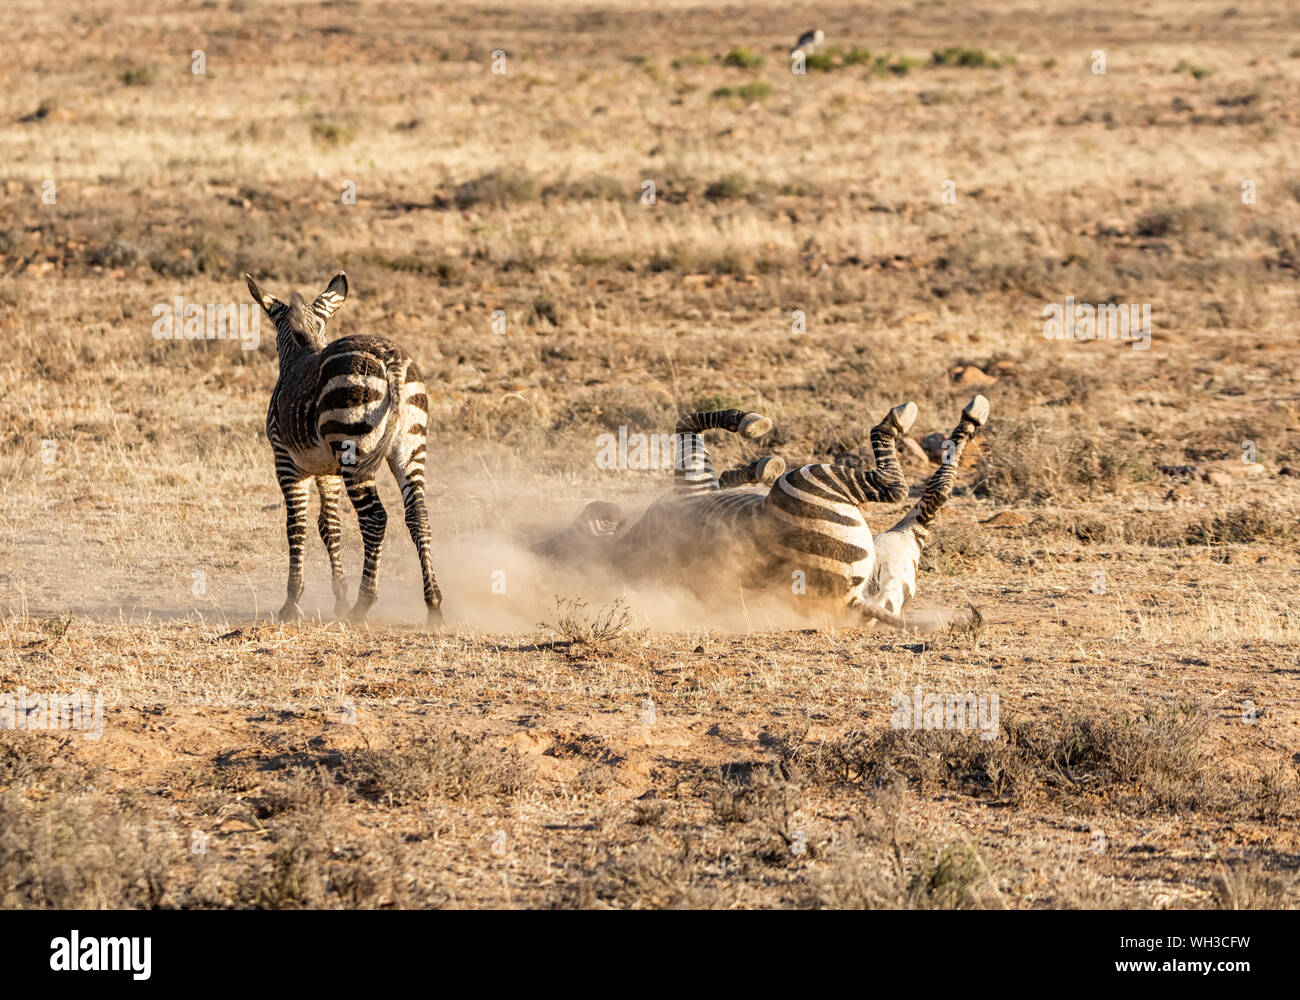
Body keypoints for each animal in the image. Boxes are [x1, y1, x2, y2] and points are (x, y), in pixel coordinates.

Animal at [244, 271, 443, 626]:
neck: (300, 351)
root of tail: (391, 360)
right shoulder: (328, 471)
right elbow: (329, 526)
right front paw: (339, 596)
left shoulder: (286, 462)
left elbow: (296, 527)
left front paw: (291, 603)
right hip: (410, 445)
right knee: (418, 515)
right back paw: (433, 603)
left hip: (354, 446)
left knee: (375, 518)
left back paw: (363, 605)